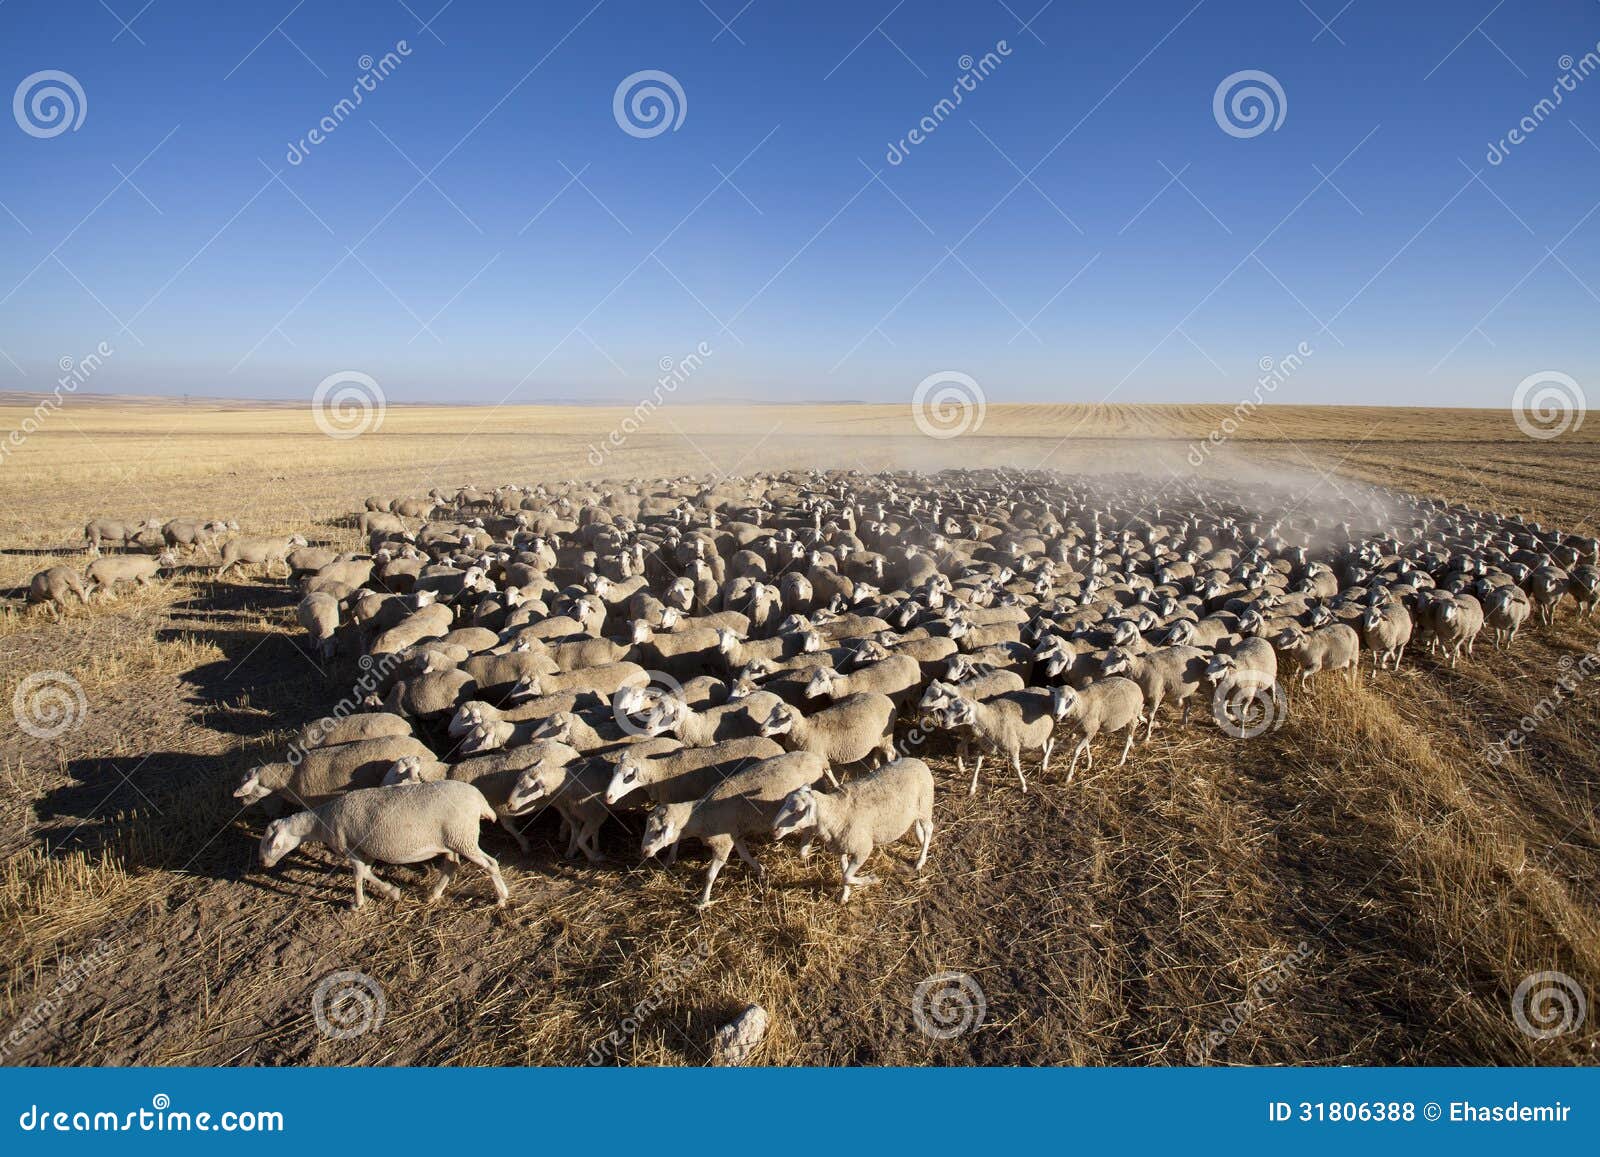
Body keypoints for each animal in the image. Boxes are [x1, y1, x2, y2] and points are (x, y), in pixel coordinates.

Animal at [258, 780, 508, 908]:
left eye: (272, 843)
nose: (263, 863)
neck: (322, 821)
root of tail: (480, 800)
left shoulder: (350, 847)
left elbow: (358, 874)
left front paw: (358, 903)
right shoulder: (364, 849)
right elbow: (367, 872)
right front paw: (392, 892)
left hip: (463, 837)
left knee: (490, 863)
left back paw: (502, 897)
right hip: (452, 840)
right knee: (451, 865)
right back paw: (433, 894)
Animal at [640, 751, 834, 907]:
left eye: (658, 831)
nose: (644, 852)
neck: (701, 815)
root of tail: (818, 759)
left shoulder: (723, 843)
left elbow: (710, 874)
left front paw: (703, 901)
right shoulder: (735, 835)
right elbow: (745, 856)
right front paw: (761, 870)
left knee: (810, 828)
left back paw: (803, 851)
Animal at [757, 692, 897, 771]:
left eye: (780, 718)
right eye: (770, 713)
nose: (761, 729)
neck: (805, 730)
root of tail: (886, 698)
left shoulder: (821, 759)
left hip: (886, 737)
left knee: (891, 753)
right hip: (878, 738)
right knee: (877, 752)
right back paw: (875, 768)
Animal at [771, 757, 934, 903]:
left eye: (798, 811)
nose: (774, 829)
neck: (834, 811)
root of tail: (919, 762)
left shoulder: (862, 850)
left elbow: (846, 876)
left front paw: (872, 879)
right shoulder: (841, 848)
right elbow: (844, 873)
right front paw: (844, 896)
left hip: (926, 806)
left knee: (929, 828)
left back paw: (920, 860)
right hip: (916, 809)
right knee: (916, 822)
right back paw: (919, 838)